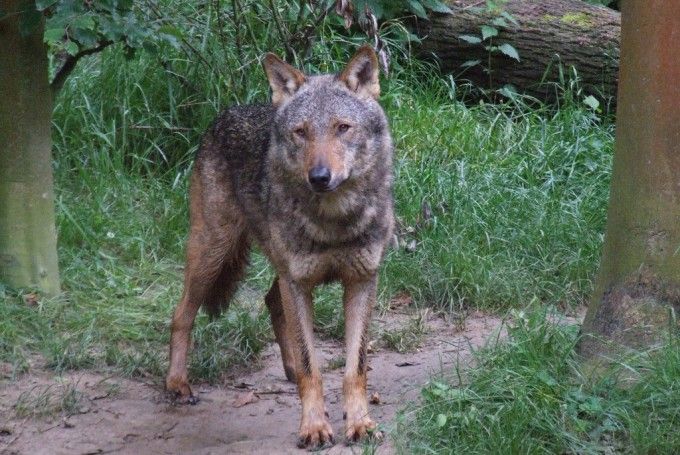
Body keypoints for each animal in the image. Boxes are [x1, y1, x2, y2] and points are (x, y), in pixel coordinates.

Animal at [165, 45, 394, 448]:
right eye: (301, 132)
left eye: (342, 128)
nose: (319, 177)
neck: (333, 221)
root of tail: (226, 113)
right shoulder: (298, 282)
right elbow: (310, 365)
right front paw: (314, 427)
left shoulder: (363, 280)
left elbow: (355, 367)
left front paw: (361, 424)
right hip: (213, 253)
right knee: (181, 315)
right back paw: (177, 385)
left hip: (271, 267)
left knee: (271, 300)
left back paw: (286, 371)